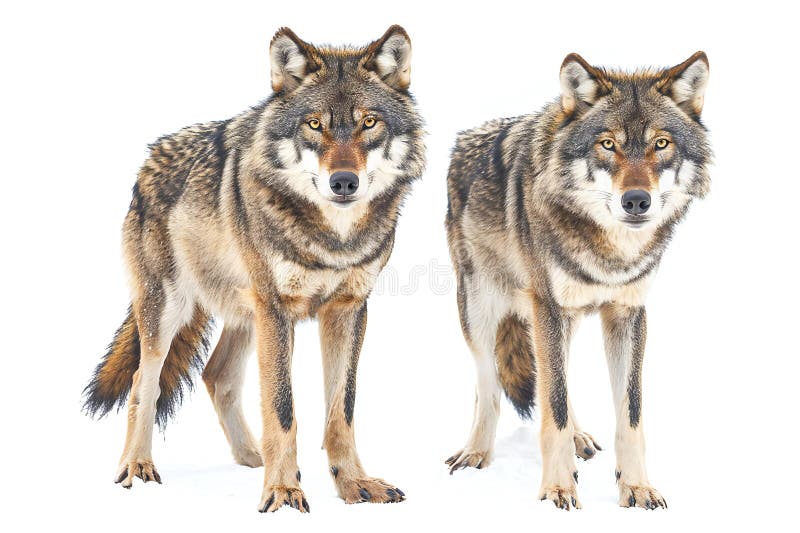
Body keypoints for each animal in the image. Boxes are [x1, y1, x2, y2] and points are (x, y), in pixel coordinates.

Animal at [82, 25, 425, 513]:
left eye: (369, 123)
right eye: (314, 124)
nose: (343, 182)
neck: (332, 240)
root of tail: (147, 162)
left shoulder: (348, 309)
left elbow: (341, 411)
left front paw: (355, 485)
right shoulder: (278, 310)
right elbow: (282, 409)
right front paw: (282, 492)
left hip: (246, 314)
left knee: (217, 375)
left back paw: (253, 457)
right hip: (172, 311)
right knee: (141, 383)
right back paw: (137, 465)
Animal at [444, 52, 711, 510]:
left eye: (661, 144)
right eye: (608, 144)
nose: (636, 201)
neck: (611, 252)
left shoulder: (628, 313)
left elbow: (628, 413)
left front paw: (636, 487)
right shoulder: (548, 308)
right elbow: (553, 406)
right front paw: (557, 489)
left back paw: (578, 437)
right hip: (481, 309)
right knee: (488, 384)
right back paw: (476, 452)